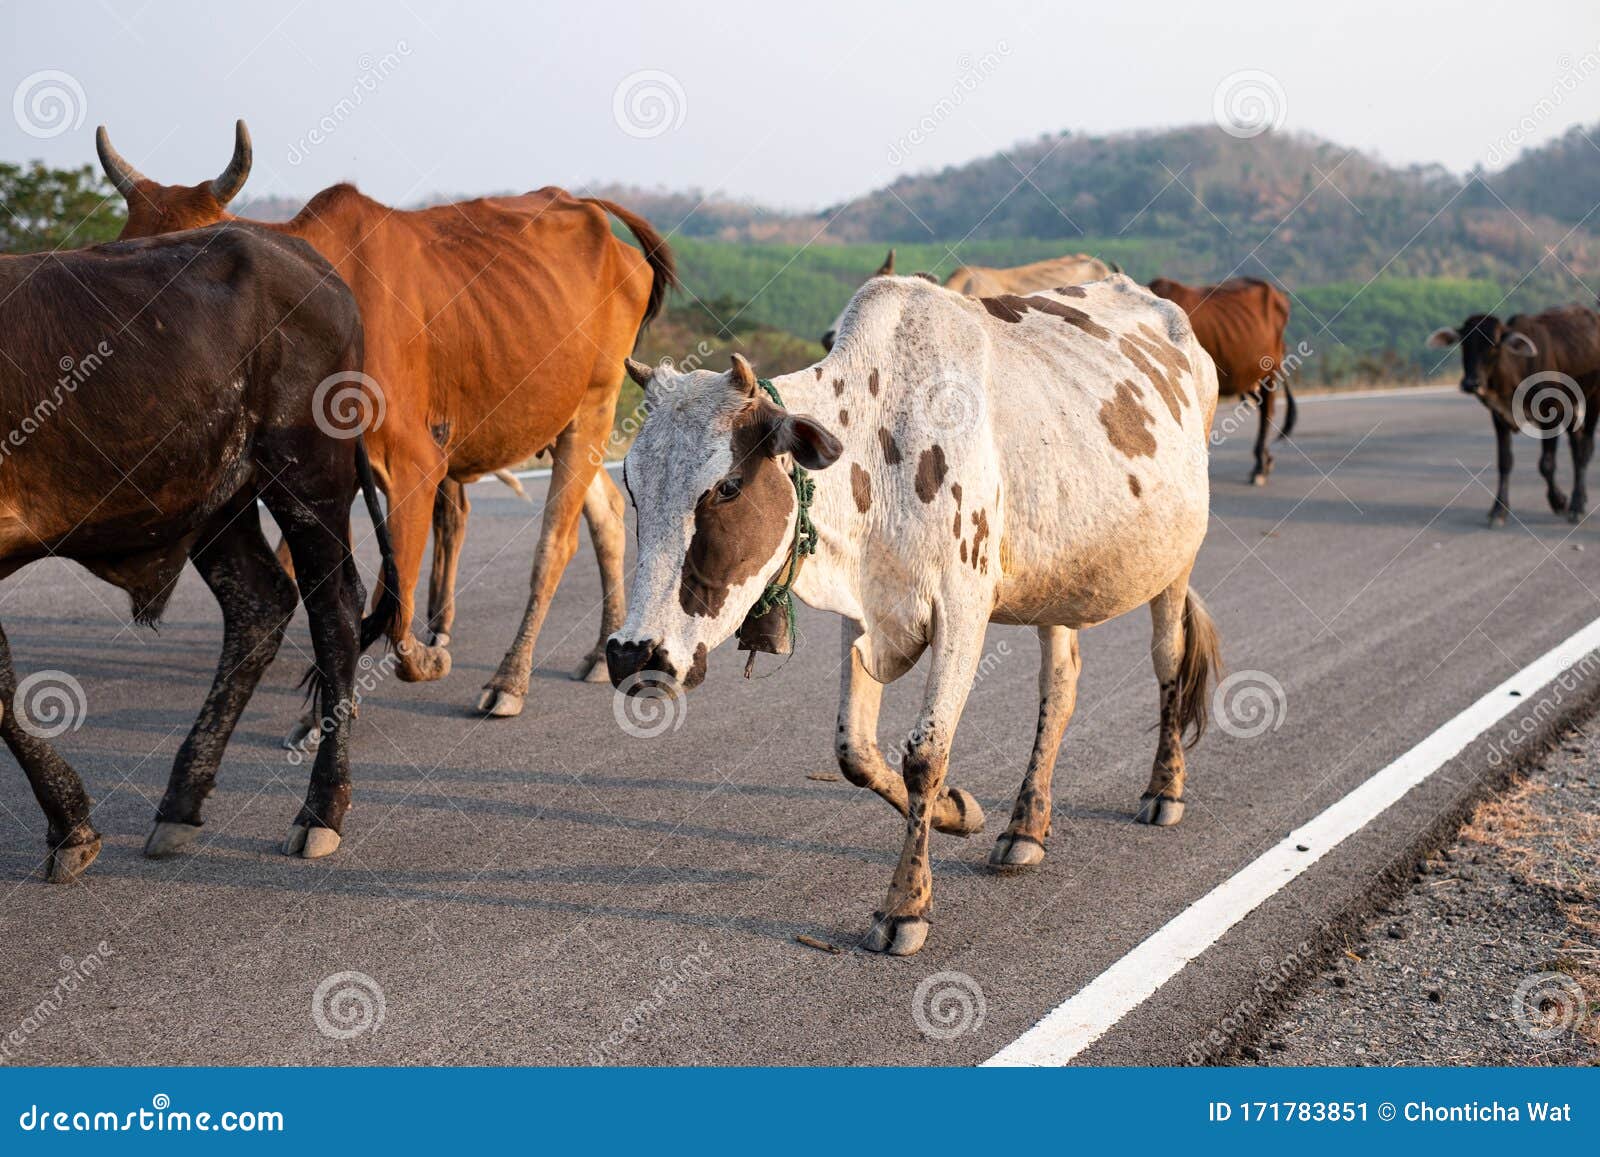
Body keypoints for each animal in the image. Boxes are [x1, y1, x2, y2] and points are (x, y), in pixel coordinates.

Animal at [0, 223, 398, 881]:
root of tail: (299, 255)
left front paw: (71, 827)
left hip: (306, 475)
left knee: (334, 611)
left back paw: (321, 813)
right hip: (219, 500)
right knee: (261, 605)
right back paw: (181, 804)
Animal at [96, 121, 676, 732]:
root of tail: (599, 222)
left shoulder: (417, 462)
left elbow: (393, 596)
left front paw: (422, 657)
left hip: (594, 409)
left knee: (554, 545)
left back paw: (509, 680)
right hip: (560, 422)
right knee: (606, 514)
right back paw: (600, 655)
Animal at [608, 274, 1222, 955]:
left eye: (727, 488)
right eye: (632, 485)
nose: (632, 654)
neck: (881, 440)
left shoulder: (964, 611)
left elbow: (925, 754)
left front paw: (906, 906)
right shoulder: (864, 614)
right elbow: (855, 751)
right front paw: (959, 811)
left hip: (1178, 563)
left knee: (1169, 662)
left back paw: (1163, 789)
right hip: (1056, 578)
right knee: (1059, 685)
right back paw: (1026, 827)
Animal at [1147, 277, 1295, 486]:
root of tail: (1278, 295)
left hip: (1270, 371)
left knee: (1267, 412)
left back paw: (1260, 468)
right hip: (1251, 378)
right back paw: (1266, 461)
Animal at [1427, 307, 1600, 525]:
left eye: (1494, 345)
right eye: (1463, 343)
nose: (1471, 383)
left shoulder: (1551, 414)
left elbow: (1546, 464)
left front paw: (1559, 501)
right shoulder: (1499, 417)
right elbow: (1504, 462)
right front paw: (1498, 510)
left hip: (1593, 399)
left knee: (1584, 448)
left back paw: (1576, 506)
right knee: (1577, 445)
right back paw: (1580, 499)